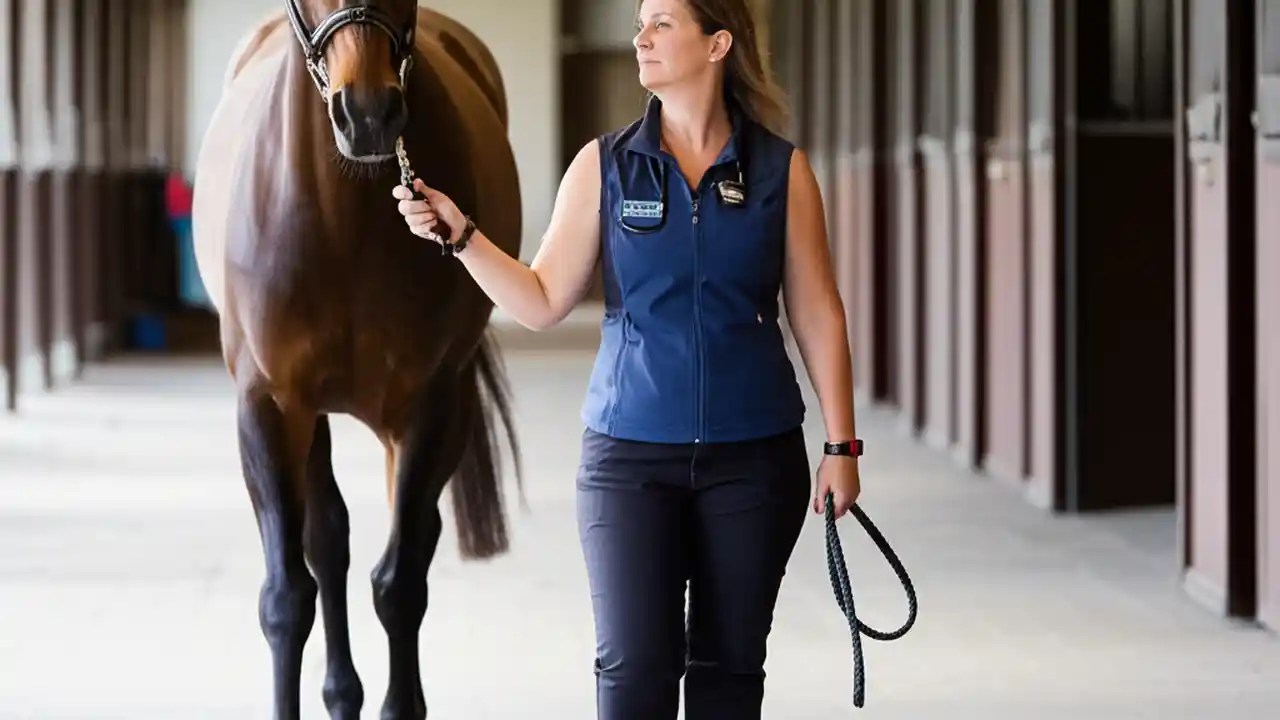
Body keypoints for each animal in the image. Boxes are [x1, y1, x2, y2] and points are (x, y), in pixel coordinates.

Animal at [191, 2, 523, 717]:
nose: (368, 114)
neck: (342, 224)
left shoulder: (429, 408)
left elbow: (398, 585)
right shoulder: (269, 407)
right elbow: (287, 598)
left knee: (407, 542)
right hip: (310, 421)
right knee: (327, 544)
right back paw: (341, 694)